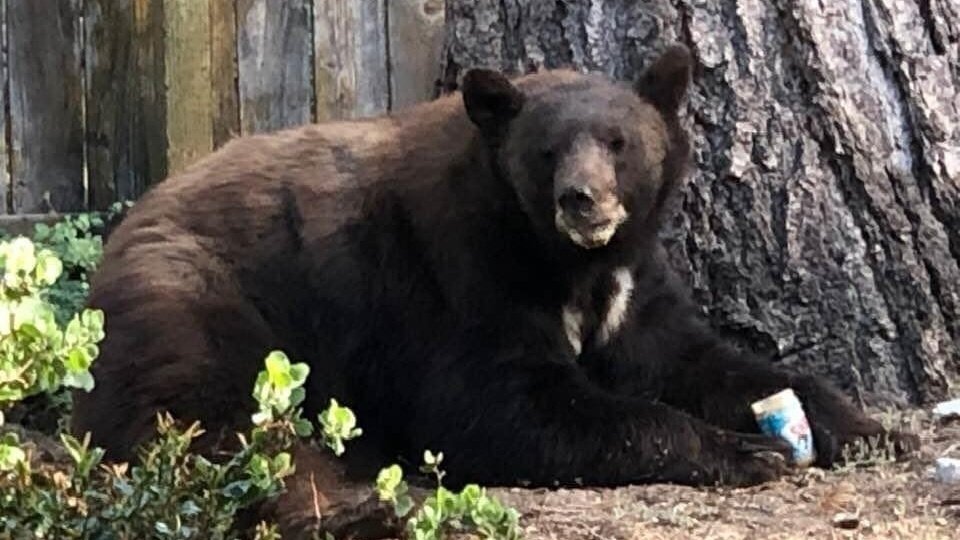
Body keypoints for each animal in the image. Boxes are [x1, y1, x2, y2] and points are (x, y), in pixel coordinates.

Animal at [70, 43, 917, 493]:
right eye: (548, 149)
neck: (559, 259)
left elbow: (700, 359)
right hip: (197, 301)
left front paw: (867, 429)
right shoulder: (454, 279)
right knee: (199, 418)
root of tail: (117, 246)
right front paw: (752, 451)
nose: (582, 200)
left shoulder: (633, 285)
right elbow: (502, 406)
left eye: (618, 142)